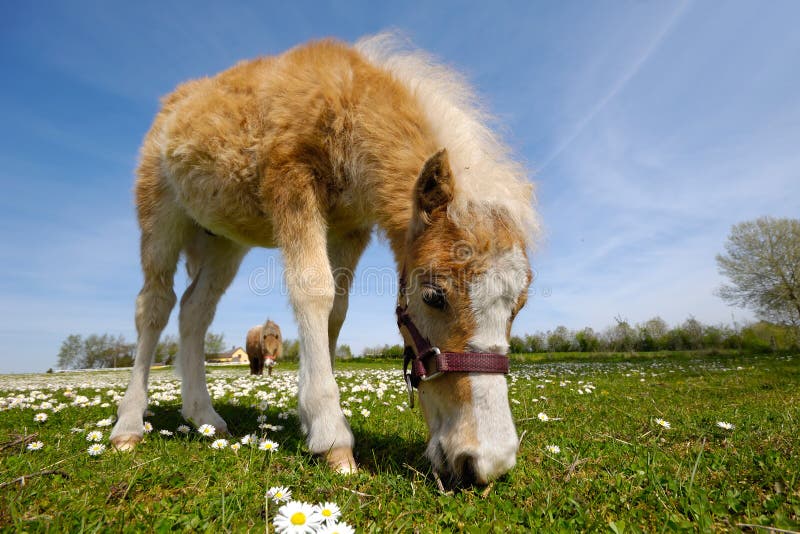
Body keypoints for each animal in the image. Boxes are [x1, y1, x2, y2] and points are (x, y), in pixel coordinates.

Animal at [109, 33, 538, 485]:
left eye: (518, 307)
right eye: (433, 296)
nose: (486, 462)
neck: (346, 102)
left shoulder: (350, 227)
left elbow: (337, 309)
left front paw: (311, 419)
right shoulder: (292, 183)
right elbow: (314, 291)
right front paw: (333, 440)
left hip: (224, 241)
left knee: (194, 310)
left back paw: (203, 415)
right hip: (160, 214)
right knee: (155, 306)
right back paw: (128, 426)